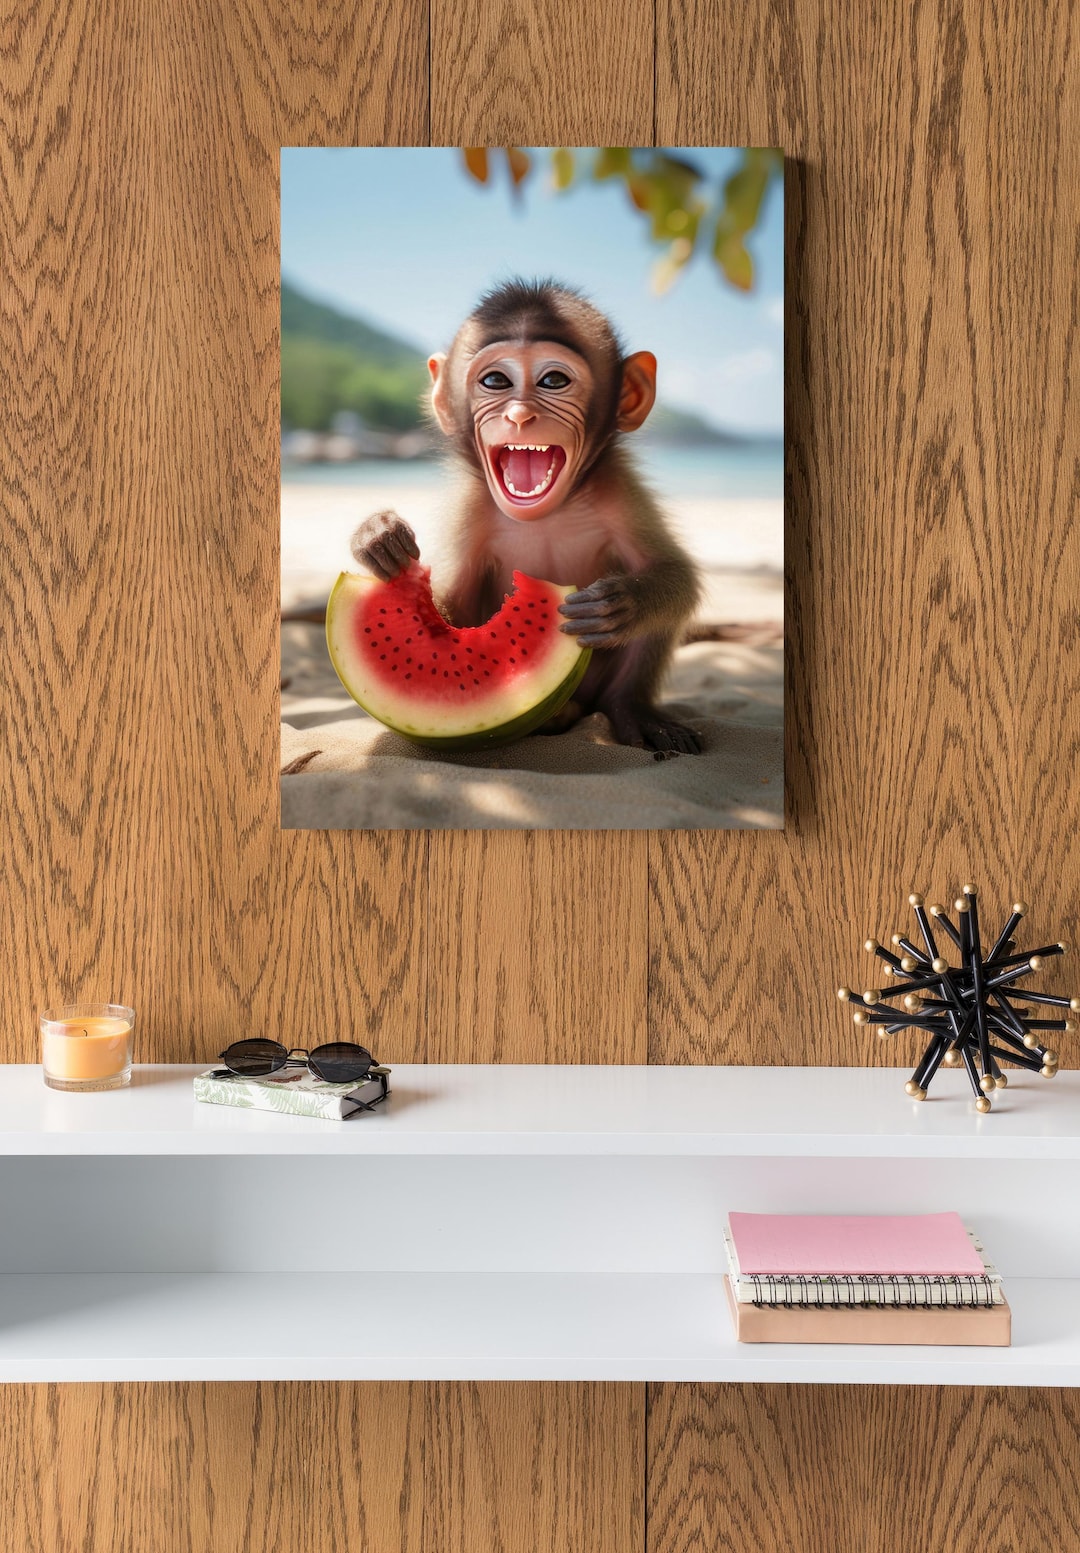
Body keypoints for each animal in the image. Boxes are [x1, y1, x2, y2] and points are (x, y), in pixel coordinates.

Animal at [350, 279, 703, 754]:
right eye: (496, 381)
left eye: (553, 380)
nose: (519, 415)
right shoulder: (471, 507)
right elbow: (451, 604)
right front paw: (376, 537)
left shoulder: (619, 488)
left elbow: (674, 571)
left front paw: (623, 603)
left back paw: (629, 708)